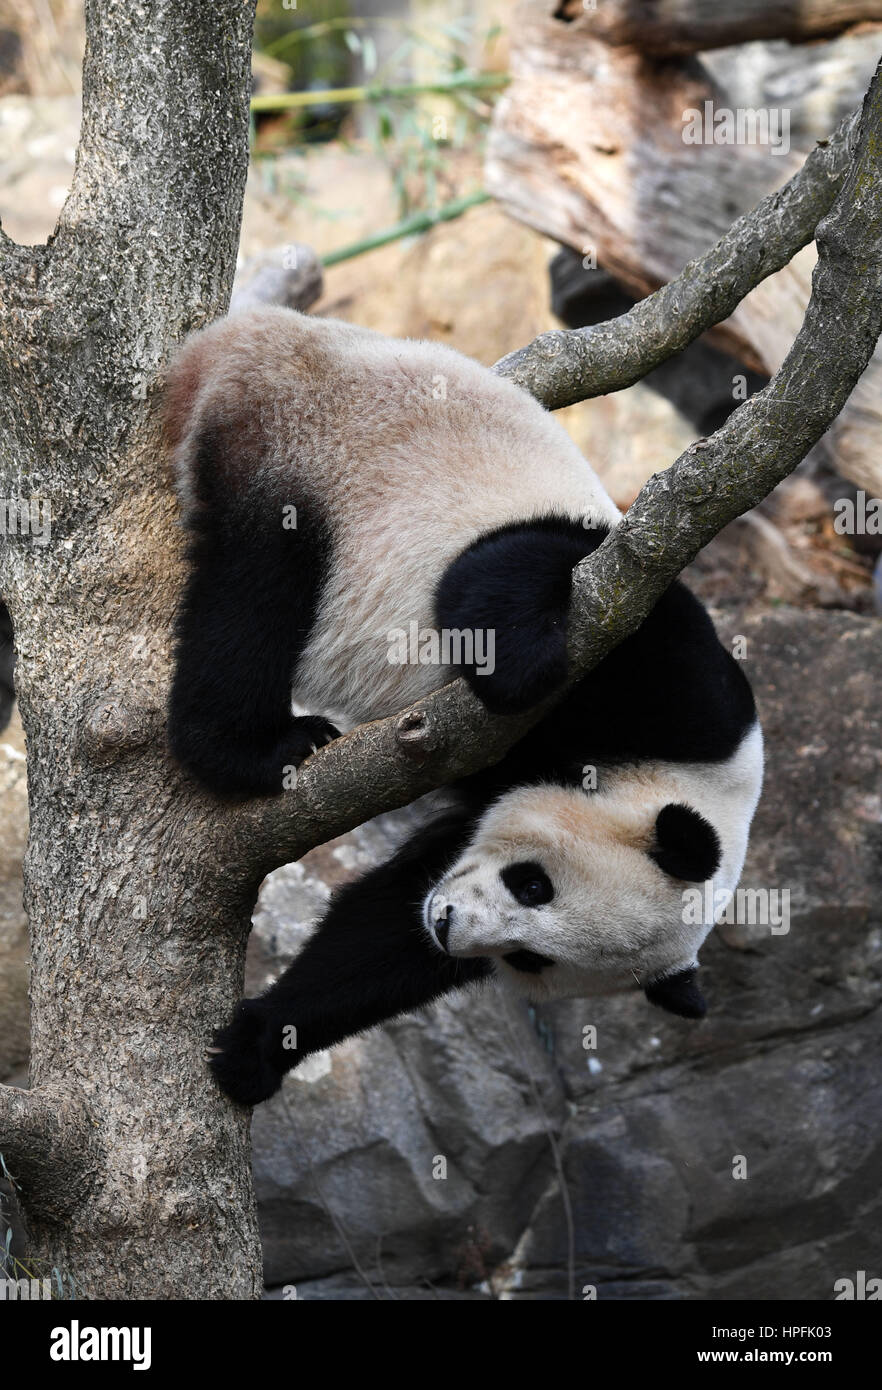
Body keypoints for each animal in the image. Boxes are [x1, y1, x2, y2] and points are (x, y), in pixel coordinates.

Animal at [164, 307, 763, 1106]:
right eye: (534, 885)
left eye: (530, 958)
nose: (449, 924)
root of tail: (247, 337)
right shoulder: (671, 680)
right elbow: (500, 586)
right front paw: (522, 663)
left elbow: (389, 925)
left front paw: (262, 1043)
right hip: (302, 446)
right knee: (254, 592)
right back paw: (258, 749)